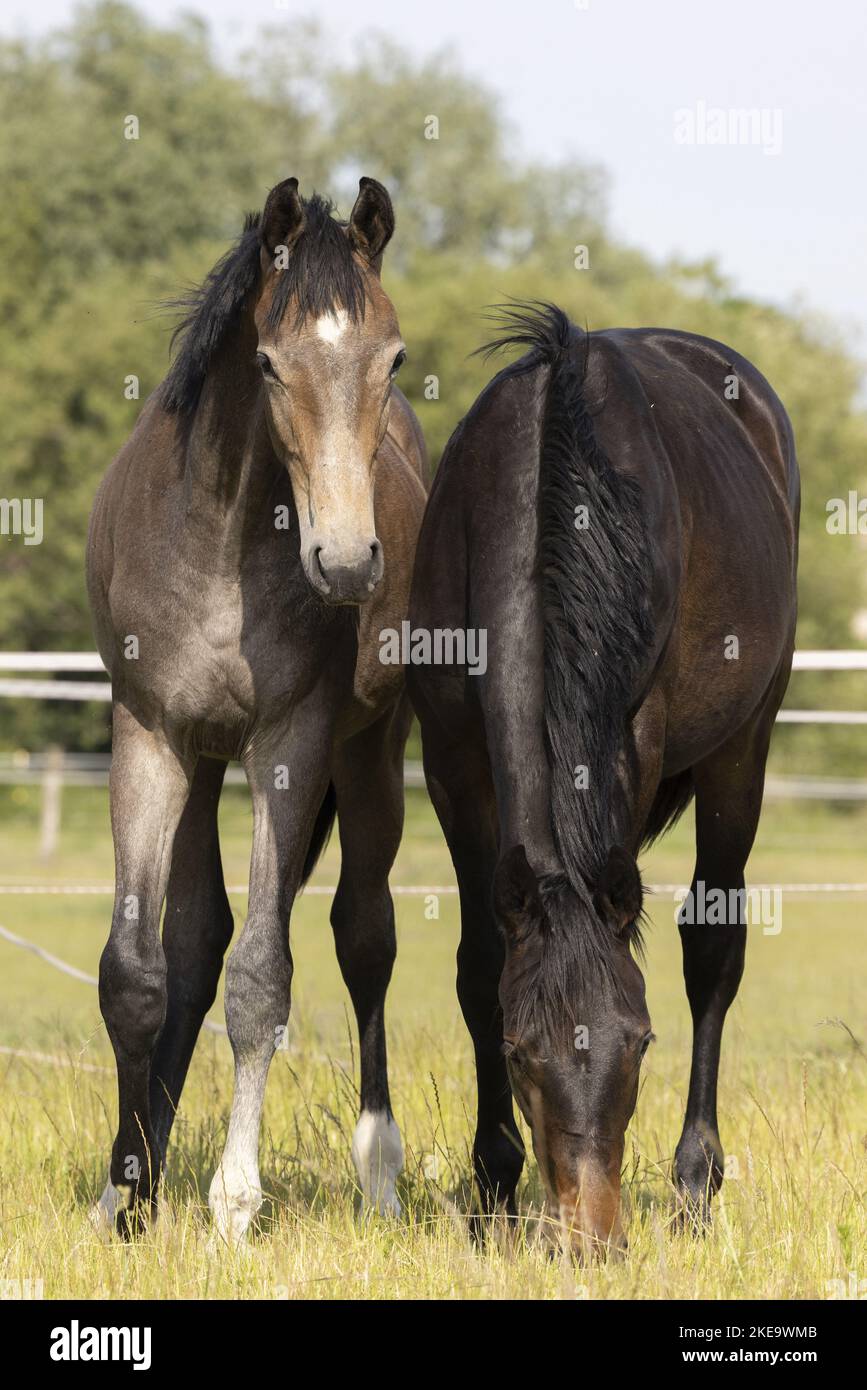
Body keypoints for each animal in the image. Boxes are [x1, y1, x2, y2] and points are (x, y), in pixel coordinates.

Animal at [86, 176, 427, 1244]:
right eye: (271, 363)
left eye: (392, 357)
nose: (349, 563)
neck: (217, 532)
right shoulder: (150, 733)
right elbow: (138, 973)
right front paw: (125, 1192)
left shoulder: (290, 744)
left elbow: (260, 978)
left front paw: (233, 1202)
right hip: (201, 763)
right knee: (192, 945)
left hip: (368, 762)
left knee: (366, 938)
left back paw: (379, 1172)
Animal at [408, 302, 799, 1257]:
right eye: (519, 1053)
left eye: (641, 1042)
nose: (588, 1240)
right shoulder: (450, 766)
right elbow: (478, 965)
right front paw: (492, 1187)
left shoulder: (636, 738)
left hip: (744, 749)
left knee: (712, 949)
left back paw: (696, 1184)